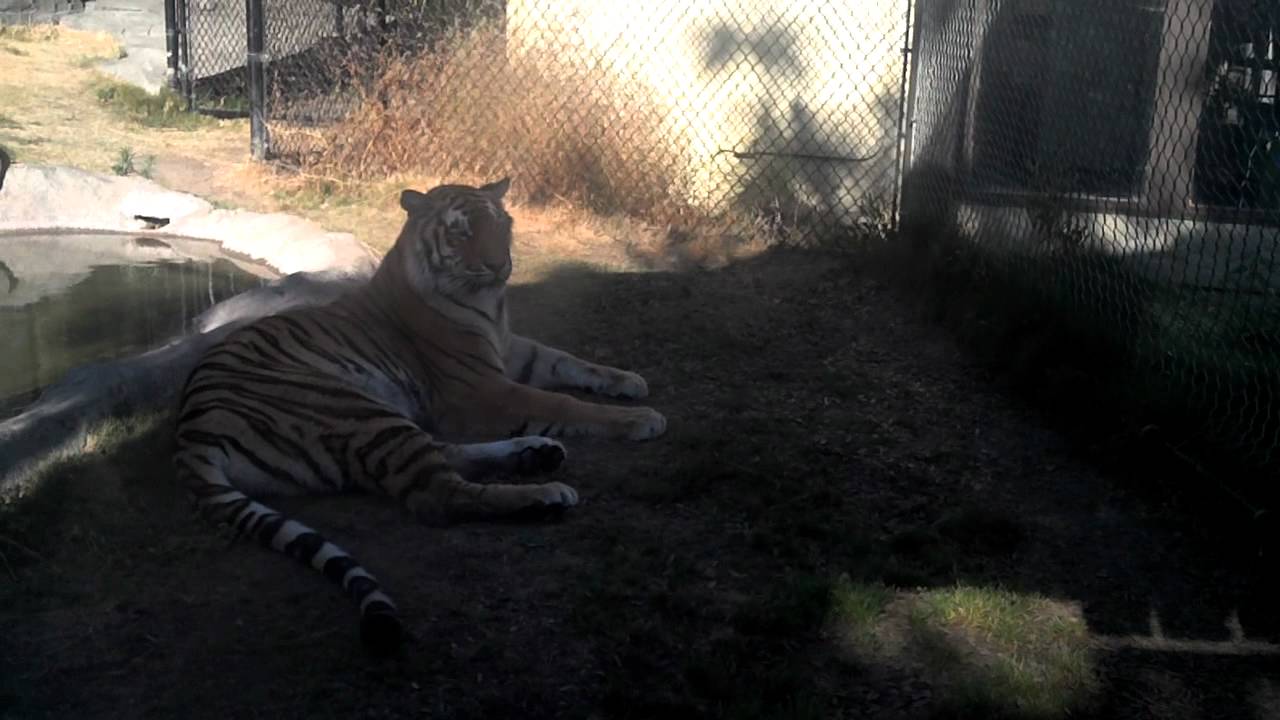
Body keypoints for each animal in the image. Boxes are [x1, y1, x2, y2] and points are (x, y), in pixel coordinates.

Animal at [172, 178, 666, 655]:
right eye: (461, 232)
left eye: (500, 225)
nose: (499, 265)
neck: (488, 306)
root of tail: (190, 429)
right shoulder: (481, 389)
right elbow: (560, 403)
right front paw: (640, 419)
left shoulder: (511, 351)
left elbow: (570, 361)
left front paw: (629, 381)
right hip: (355, 408)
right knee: (439, 496)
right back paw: (544, 493)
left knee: (444, 457)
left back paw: (535, 455)